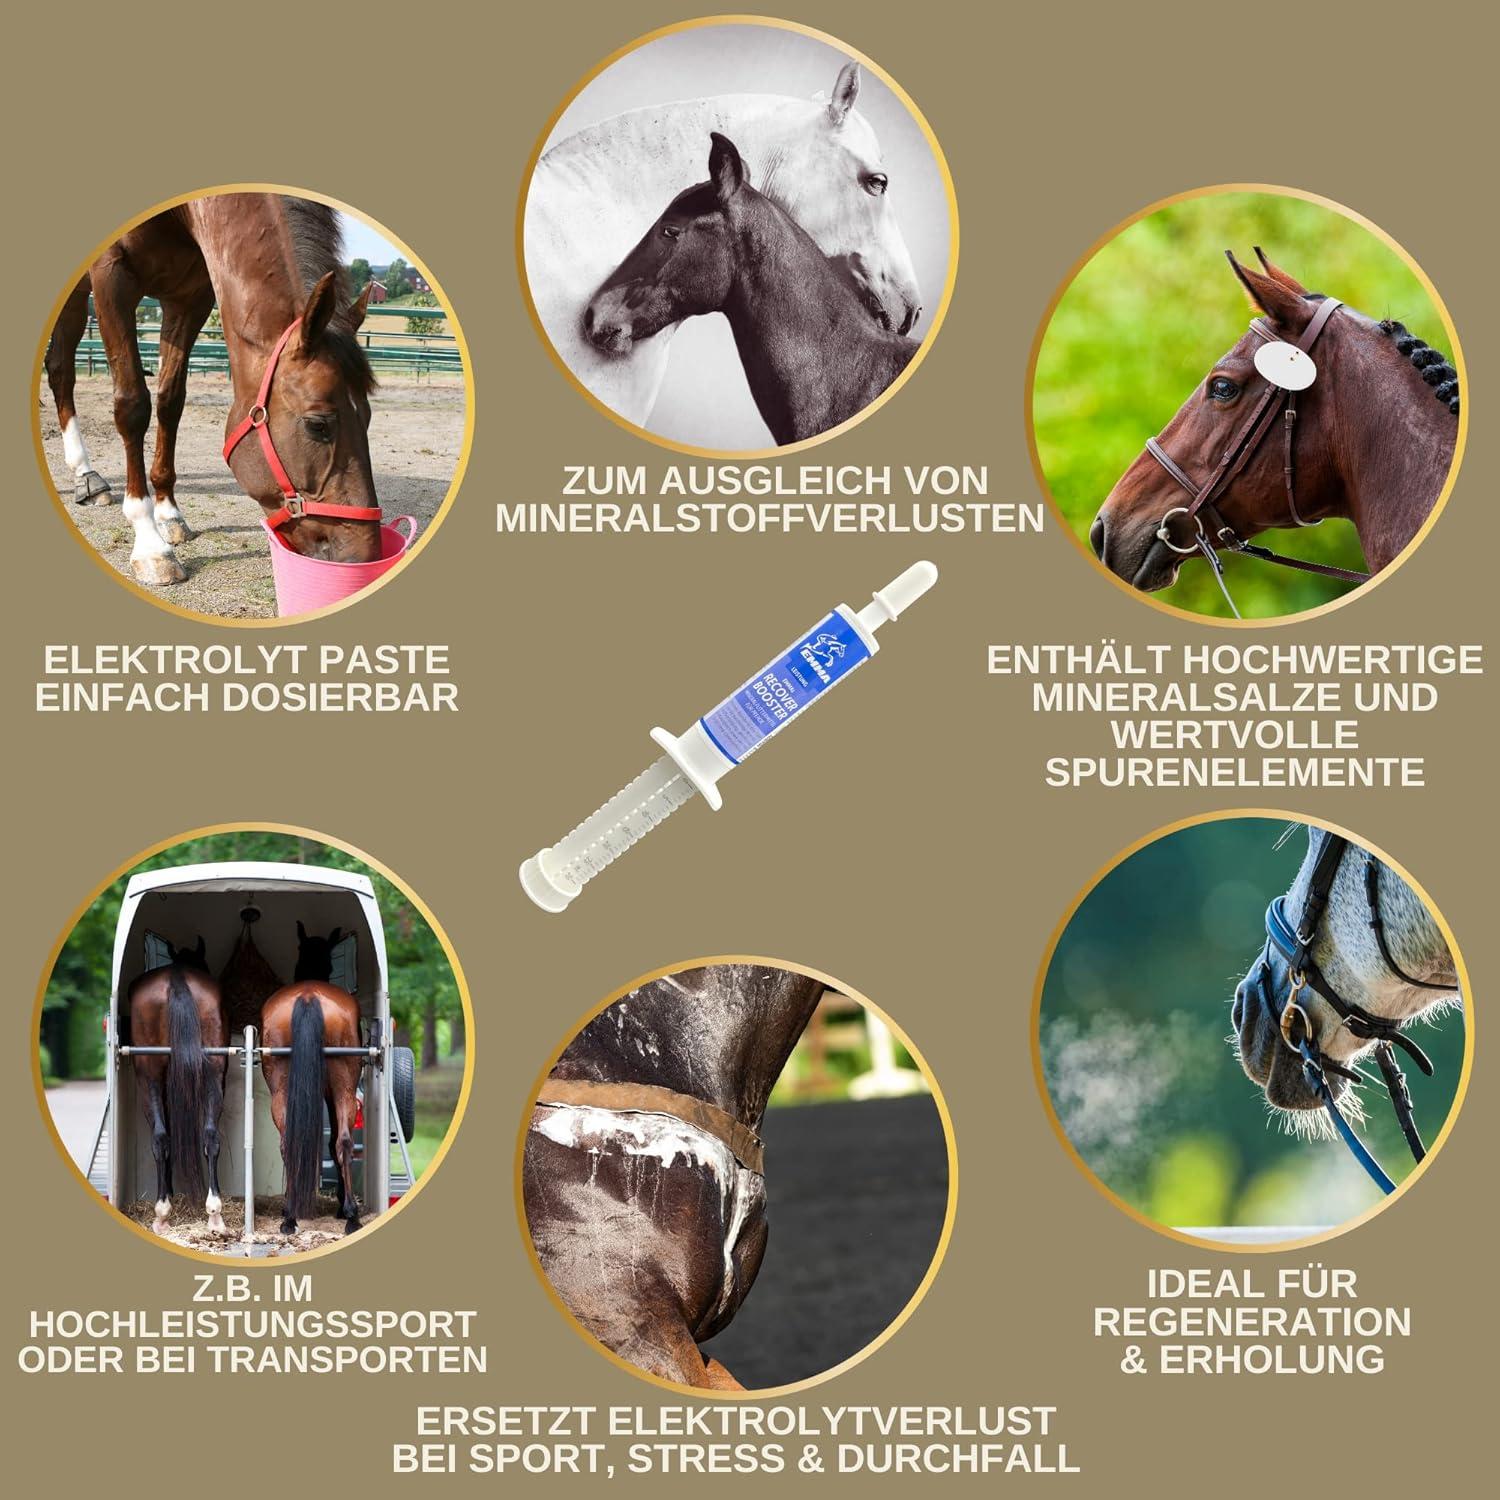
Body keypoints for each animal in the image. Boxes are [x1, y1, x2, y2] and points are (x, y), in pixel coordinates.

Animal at [43, 194, 380, 586]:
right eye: (318, 425)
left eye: (368, 417)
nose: (363, 556)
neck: (178, 215)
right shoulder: (111, 275)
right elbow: (133, 405)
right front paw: (150, 544)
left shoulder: (189, 298)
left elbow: (170, 400)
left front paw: (169, 512)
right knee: (63, 372)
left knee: (59, 369)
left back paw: (87, 477)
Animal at [124, 936, 228, 1237]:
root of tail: (176, 978)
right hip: (214, 1071)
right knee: (210, 1135)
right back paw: (214, 1213)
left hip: (148, 1078)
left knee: (159, 1138)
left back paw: (162, 1212)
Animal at [259, 923, 363, 1236]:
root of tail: (307, 996)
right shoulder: (329, 1094)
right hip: (343, 1086)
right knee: (342, 1141)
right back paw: (351, 1215)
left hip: (282, 1090)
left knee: (290, 1143)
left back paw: (290, 1216)